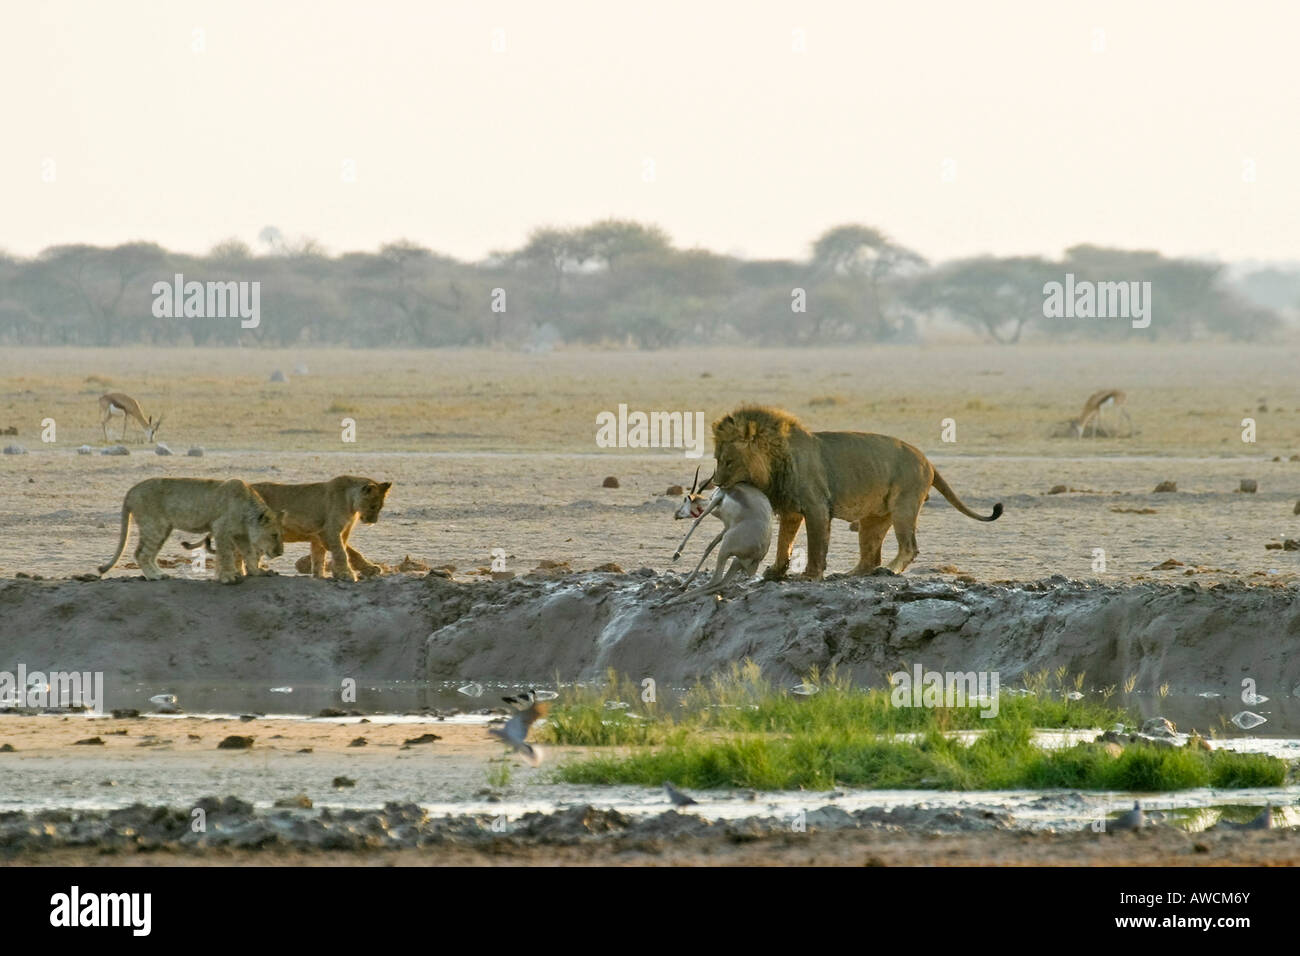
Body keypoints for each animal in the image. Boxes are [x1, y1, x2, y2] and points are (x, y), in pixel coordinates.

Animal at [98, 478, 286, 584]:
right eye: (274, 535)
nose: (280, 553)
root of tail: (131, 491)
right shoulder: (221, 528)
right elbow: (225, 555)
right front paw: (228, 578)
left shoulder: (242, 535)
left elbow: (249, 554)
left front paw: (257, 572)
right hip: (154, 526)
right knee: (141, 553)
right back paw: (154, 576)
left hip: (162, 529)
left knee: (148, 554)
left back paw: (160, 574)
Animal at [711, 405, 1002, 580]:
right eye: (717, 459)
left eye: (728, 461)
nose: (717, 482)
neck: (775, 461)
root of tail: (928, 461)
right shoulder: (792, 510)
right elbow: (785, 542)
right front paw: (775, 571)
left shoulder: (816, 506)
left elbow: (816, 545)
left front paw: (811, 575)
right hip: (874, 518)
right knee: (871, 556)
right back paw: (851, 573)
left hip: (904, 506)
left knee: (909, 546)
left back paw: (890, 570)